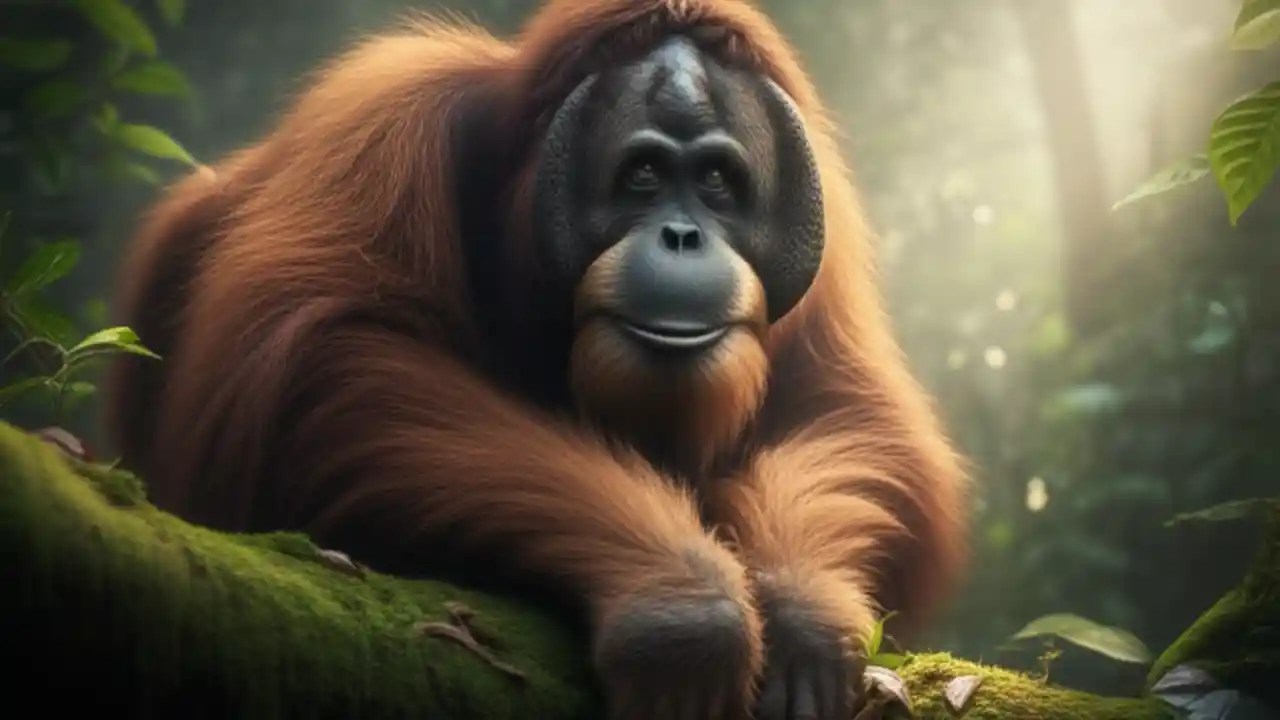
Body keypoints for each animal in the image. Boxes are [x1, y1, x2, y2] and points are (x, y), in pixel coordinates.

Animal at [106, 2, 969, 718]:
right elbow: (324, 354)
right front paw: (685, 605)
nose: (682, 236)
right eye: (643, 173)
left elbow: (846, 407)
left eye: (718, 181)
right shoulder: (386, 120)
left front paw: (803, 613)